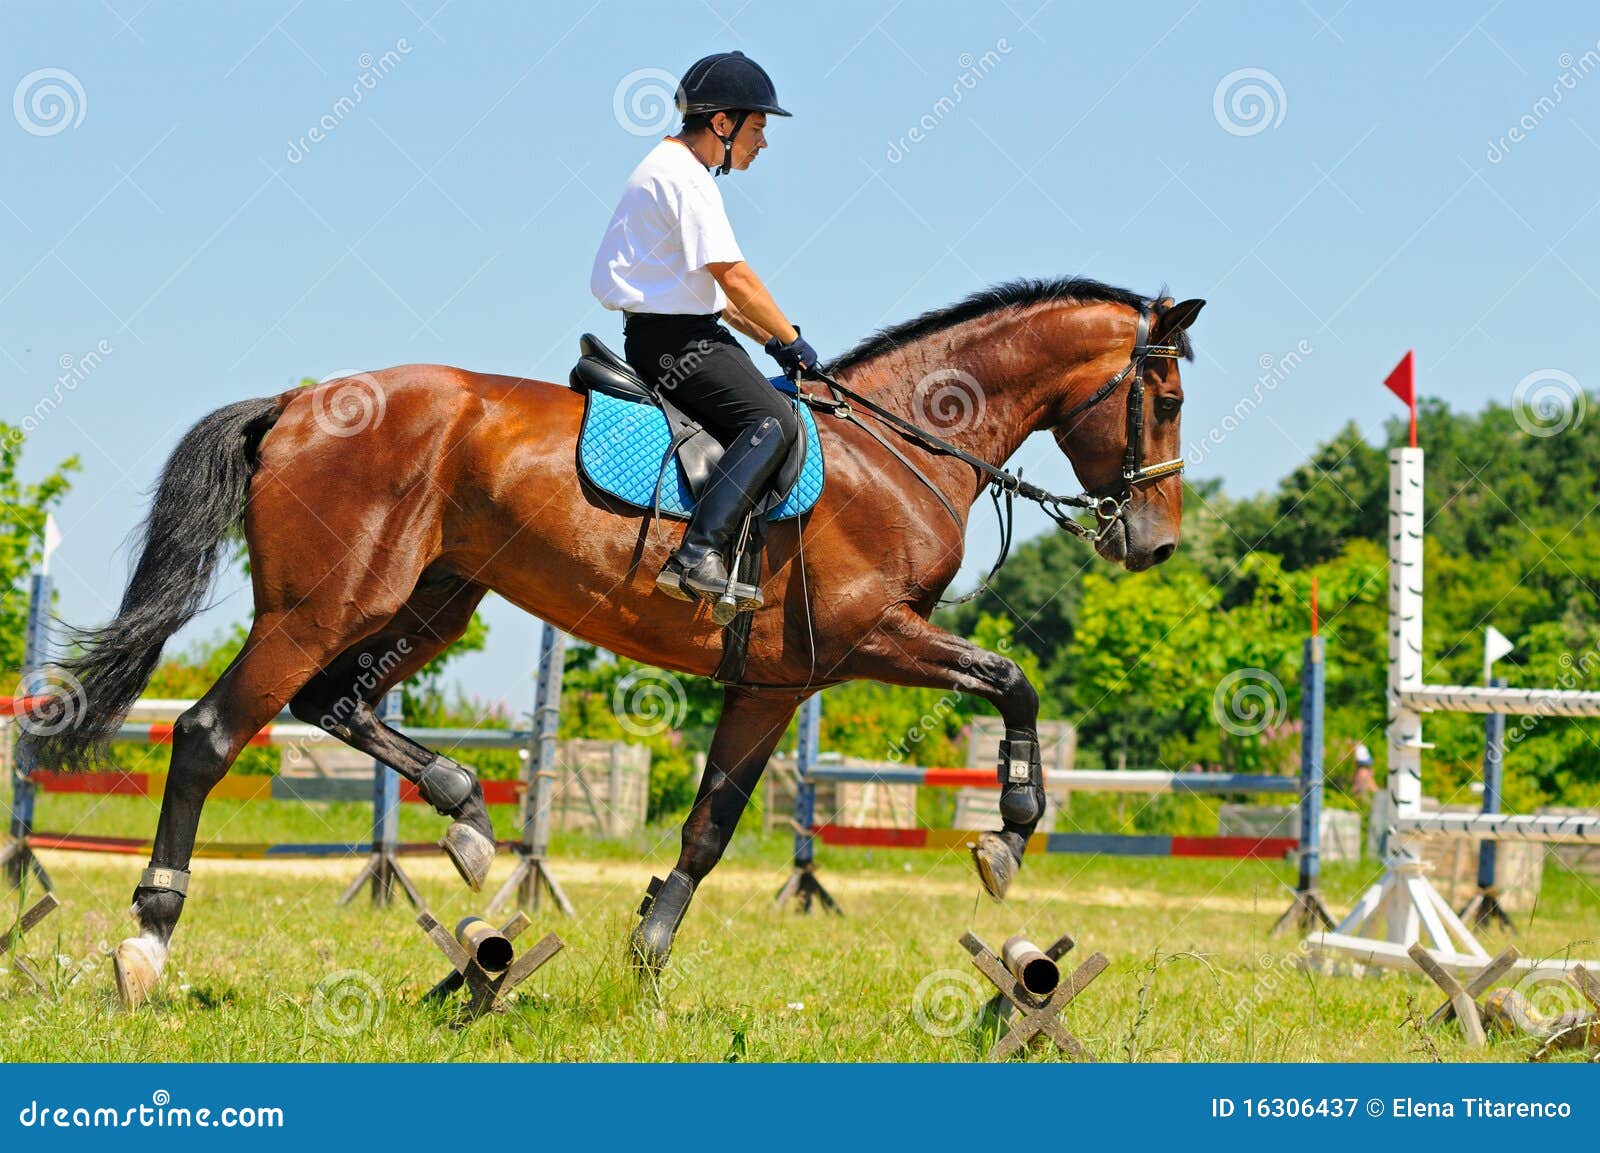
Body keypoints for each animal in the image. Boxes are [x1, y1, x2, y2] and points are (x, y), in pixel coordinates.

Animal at [21, 276, 1202, 1007]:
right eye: (1165, 393)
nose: (1154, 543)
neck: (901, 442)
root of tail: (303, 399)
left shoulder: (777, 682)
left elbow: (709, 827)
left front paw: (645, 962)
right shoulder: (869, 635)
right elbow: (1012, 678)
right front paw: (1009, 832)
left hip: (428, 600)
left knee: (334, 705)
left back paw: (464, 812)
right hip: (321, 610)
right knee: (211, 735)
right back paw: (148, 938)